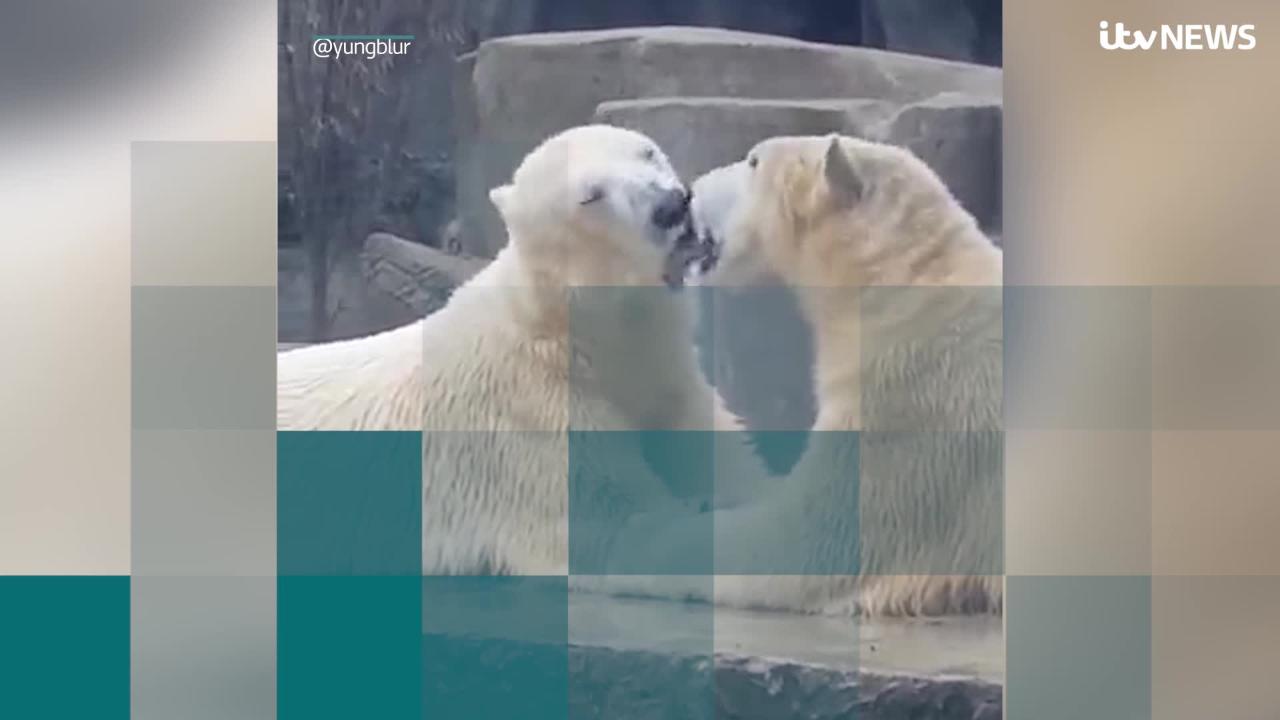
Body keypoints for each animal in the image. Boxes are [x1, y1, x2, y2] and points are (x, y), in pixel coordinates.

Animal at [277, 124, 771, 575]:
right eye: (591, 196)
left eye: (647, 152)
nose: (672, 206)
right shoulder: (531, 419)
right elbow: (624, 528)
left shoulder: (669, 381)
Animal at [611, 134, 1004, 616]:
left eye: (754, 161)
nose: (691, 189)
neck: (898, 287)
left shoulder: (917, 405)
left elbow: (802, 541)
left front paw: (637, 540)